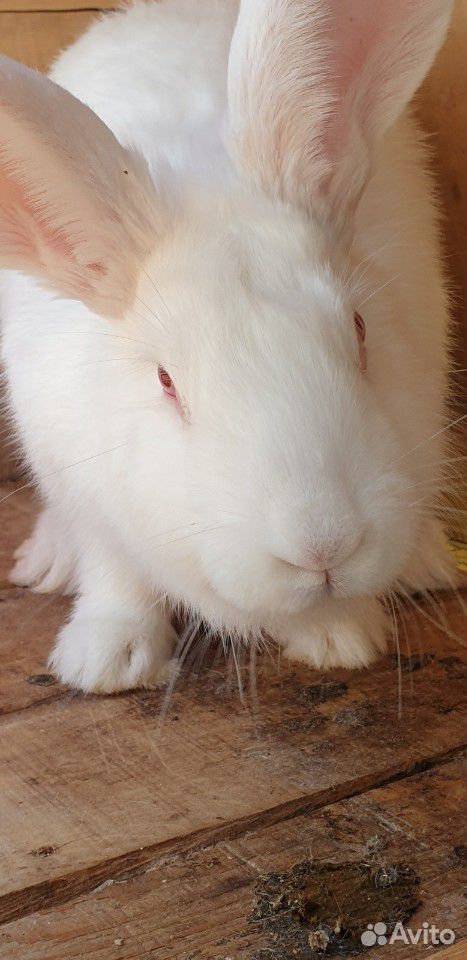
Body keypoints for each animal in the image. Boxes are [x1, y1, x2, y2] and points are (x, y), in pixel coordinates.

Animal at [0, 0, 458, 693]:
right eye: (165, 381)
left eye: (359, 329)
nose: (323, 546)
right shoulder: (87, 496)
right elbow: (116, 575)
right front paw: (108, 661)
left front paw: (339, 638)